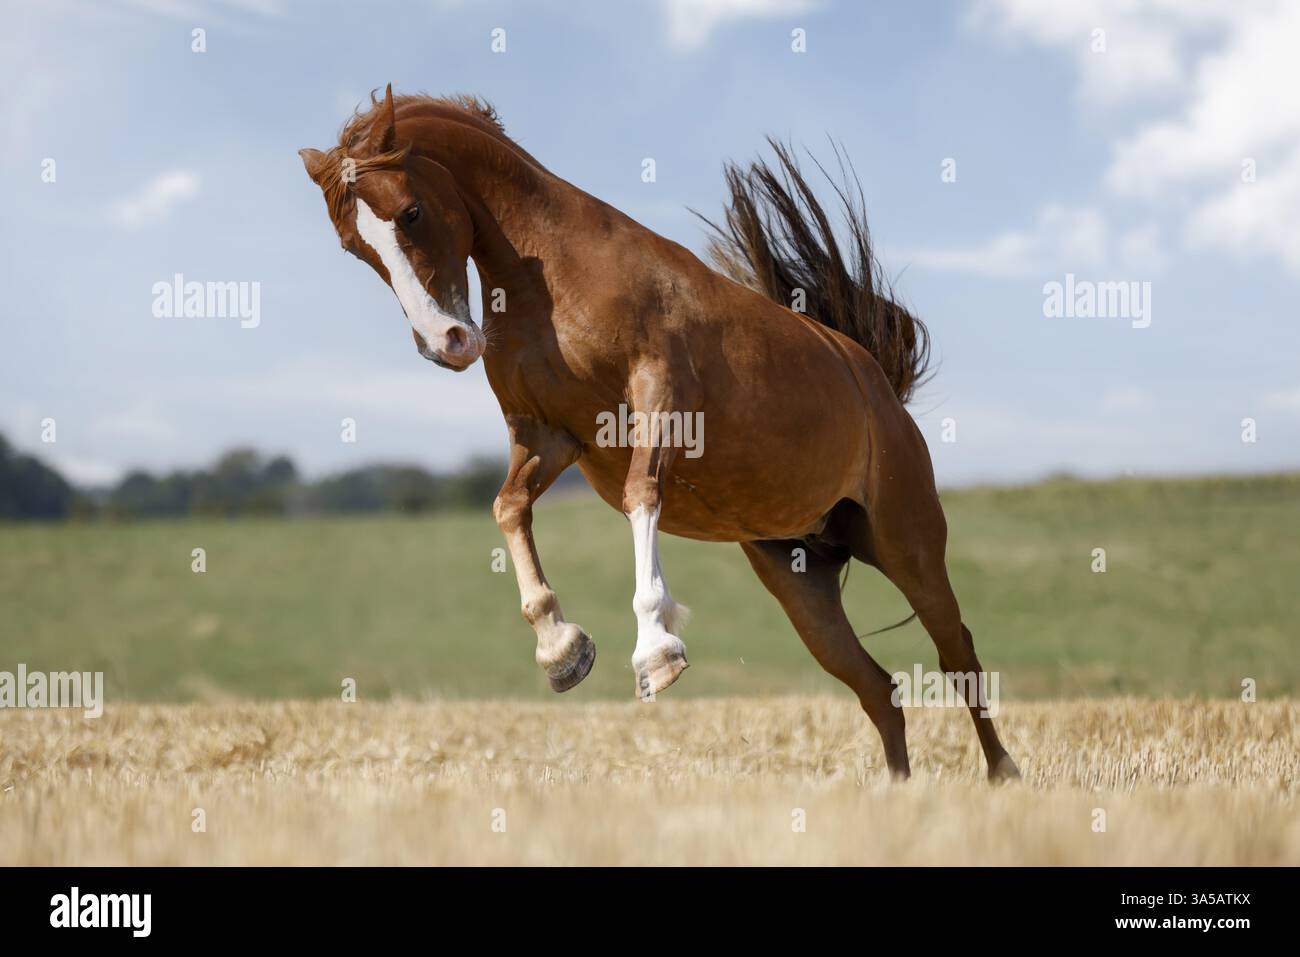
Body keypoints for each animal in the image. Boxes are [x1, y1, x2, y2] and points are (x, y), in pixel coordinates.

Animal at [298, 86, 1020, 781]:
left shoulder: (660, 399)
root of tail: (875, 381)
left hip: (907, 546)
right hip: (801, 582)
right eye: (355, 246)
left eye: (411, 212)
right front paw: (562, 650)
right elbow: (509, 507)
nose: (445, 343)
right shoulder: (549, 435)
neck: (551, 273)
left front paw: (656, 651)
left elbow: (641, 497)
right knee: (878, 690)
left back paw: (1003, 775)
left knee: (958, 658)